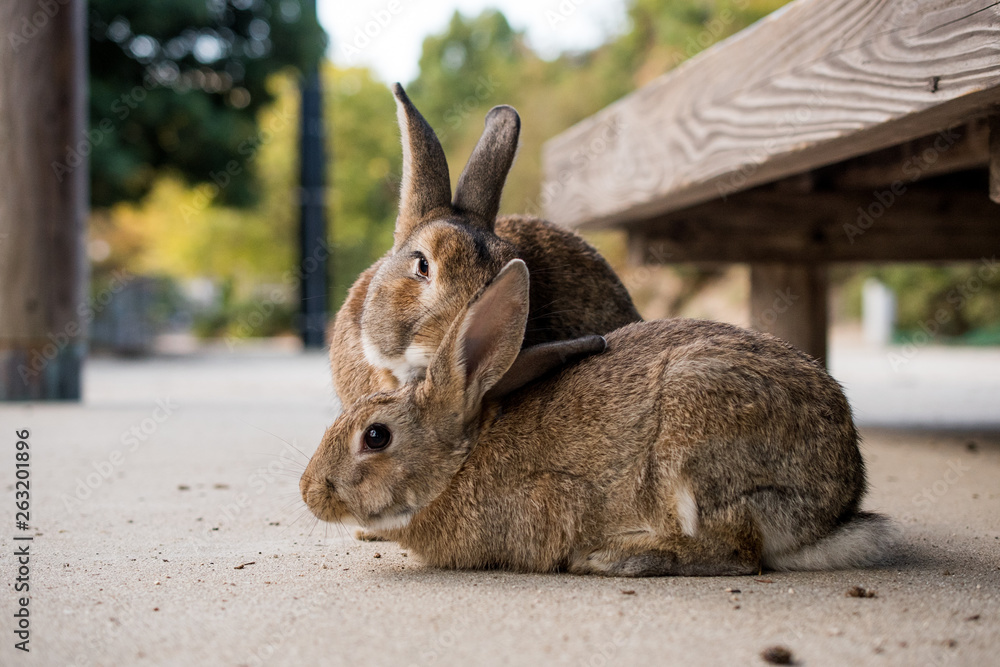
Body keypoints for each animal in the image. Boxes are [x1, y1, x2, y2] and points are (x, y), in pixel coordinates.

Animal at [302, 259, 898, 576]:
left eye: (375, 437)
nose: (309, 493)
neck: (459, 464)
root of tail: (834, 508)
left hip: (690, 451)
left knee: (736, 551)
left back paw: (609, 559)